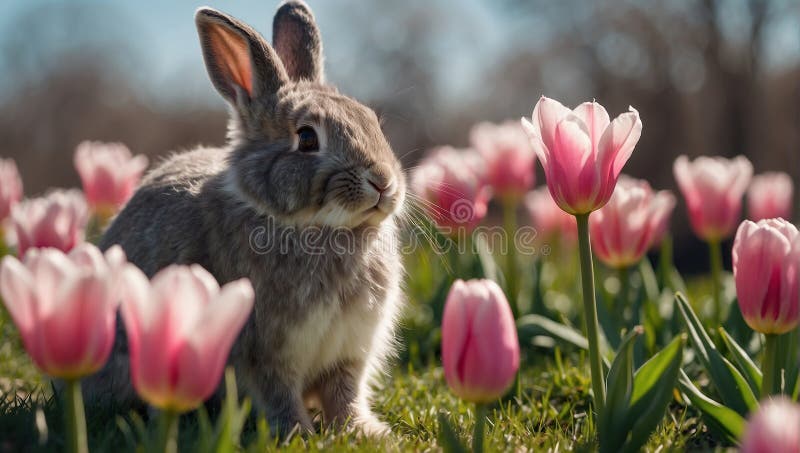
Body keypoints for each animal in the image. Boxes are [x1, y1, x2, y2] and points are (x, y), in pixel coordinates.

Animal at [83, 1, 406, 437]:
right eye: (307, 138)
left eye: (370, 119)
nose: (383, 182)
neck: (319, 227)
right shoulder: (263, 352)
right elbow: (279, 395)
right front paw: (299, 434)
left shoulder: (350, 350)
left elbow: (346, 395)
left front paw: (367, 432)